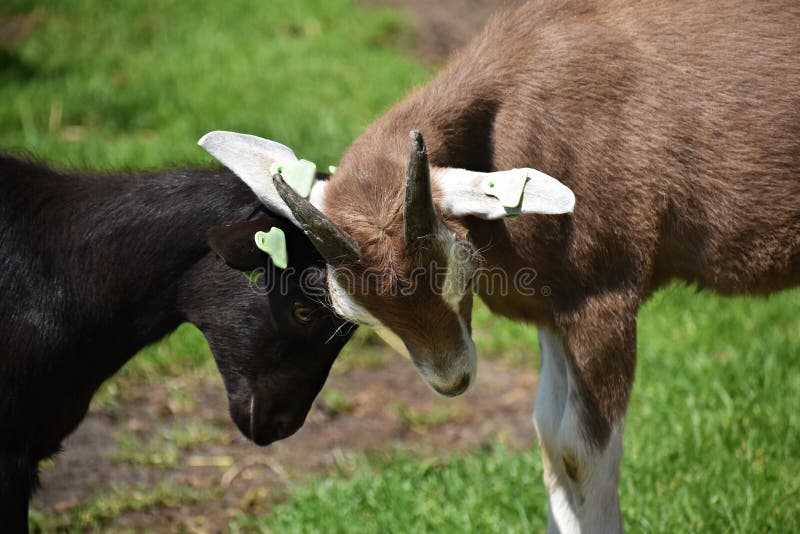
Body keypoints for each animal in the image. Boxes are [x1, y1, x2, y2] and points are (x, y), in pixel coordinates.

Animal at [202, 0, 799, 531]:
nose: (453, 380)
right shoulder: (555, 308)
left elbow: (582, 452)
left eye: (458, 271)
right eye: (355, 314)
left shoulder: (603, 301)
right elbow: (550, 438)